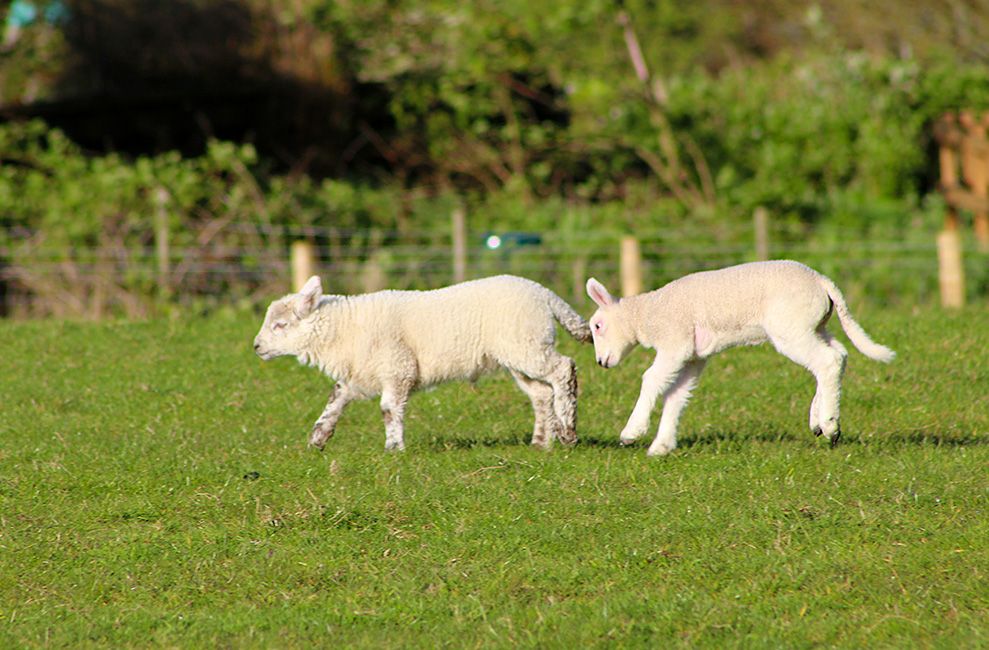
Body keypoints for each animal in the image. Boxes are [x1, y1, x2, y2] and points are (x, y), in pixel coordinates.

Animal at [253, 274, 591, 452]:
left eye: (280, 325)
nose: (256, 347)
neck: (344, 327)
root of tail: (544, 293)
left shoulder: (397, 368)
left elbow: (388, 409)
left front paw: (393, 448)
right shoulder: (360, 373)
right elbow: (335, 397)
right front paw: (318, 438)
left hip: (527, 344)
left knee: (564, 370)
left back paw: (568, 430)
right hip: (519, 354)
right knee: (542, 393)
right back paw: (542, 442)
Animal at [585, 260, 895, 456]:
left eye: (598, 326)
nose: (601, 362)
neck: (647, 314)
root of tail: (822, 282)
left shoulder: (676, 342)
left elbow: (651, 379)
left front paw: (632, 432)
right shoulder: (694, 356)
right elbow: (677, 395)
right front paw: (661, 447)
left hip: (790, 326)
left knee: (827, 361)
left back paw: (830, 425)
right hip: (814, 325)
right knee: (837, 355)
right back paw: (817, 420)